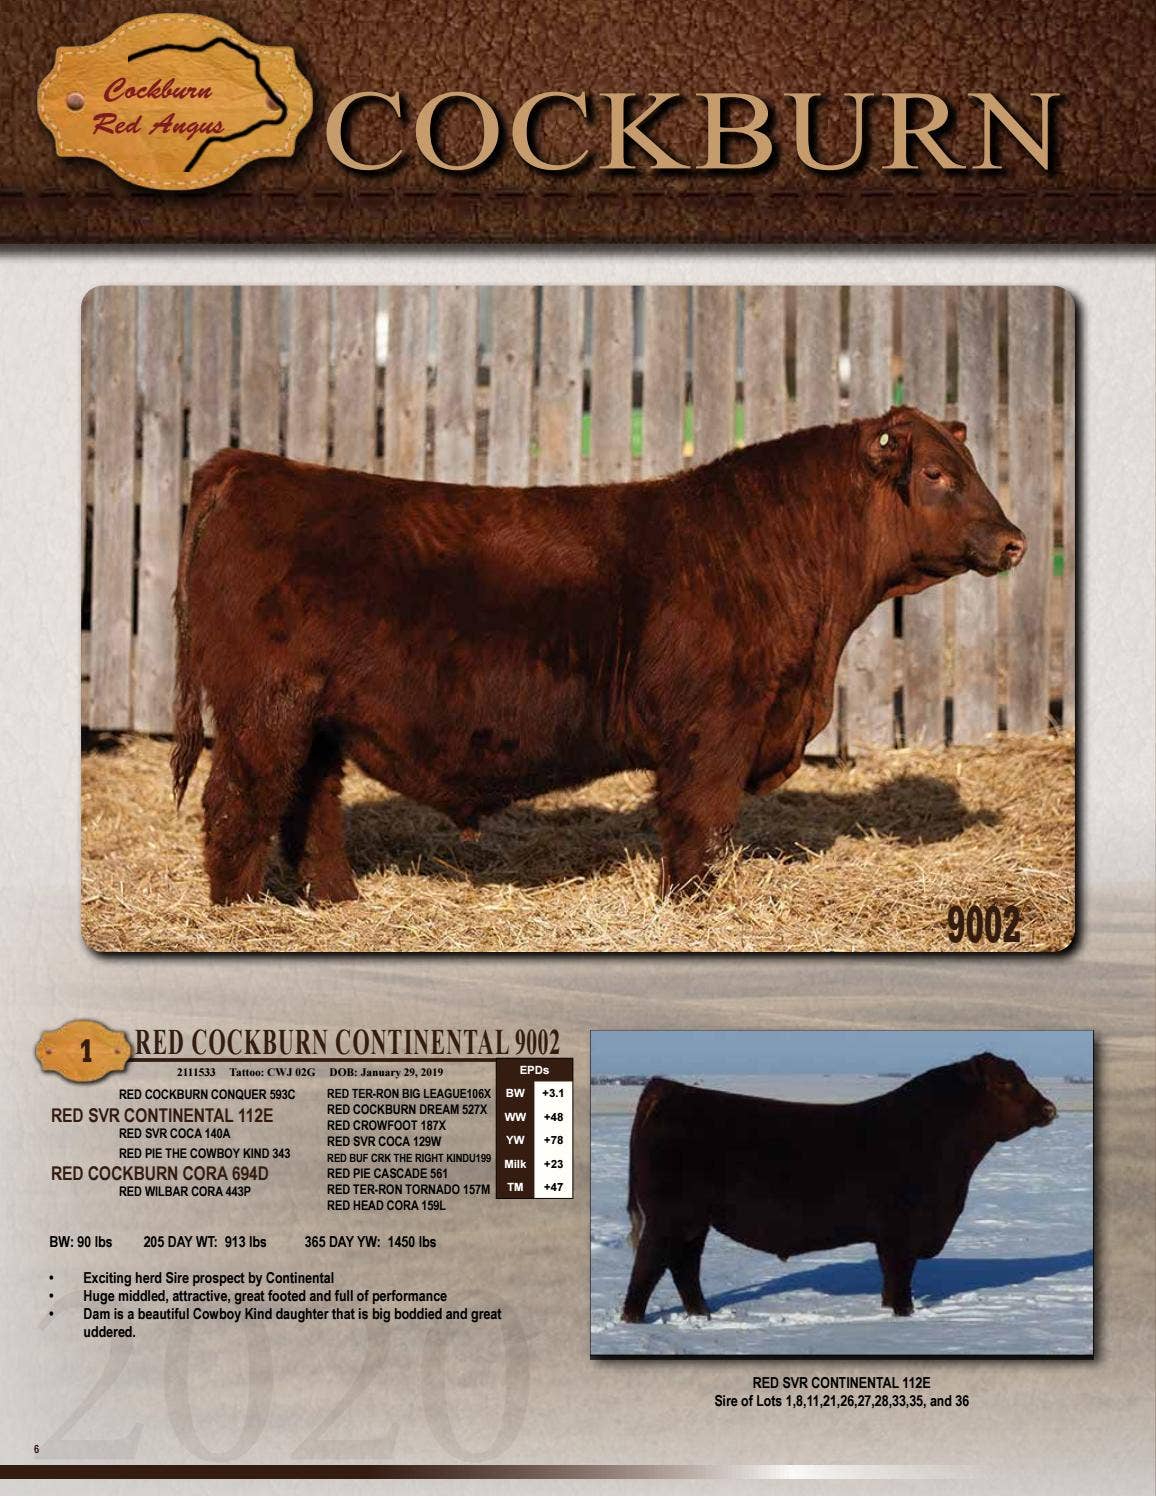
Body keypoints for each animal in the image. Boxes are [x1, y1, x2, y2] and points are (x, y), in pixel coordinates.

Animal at [170, 406, 1025, 905]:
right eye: (938, 475)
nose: (1015, 541)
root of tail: (252, 466)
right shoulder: (714, 730)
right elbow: (702, 820)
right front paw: (693, 903)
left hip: (315, 719)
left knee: (308, 806)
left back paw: (337, 899)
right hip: (263, 708)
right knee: (237, 802)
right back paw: (239, 911)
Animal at [621, 1055, 1058, 1323]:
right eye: (1005, 1082)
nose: (1050, 1108)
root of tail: (669, 1088)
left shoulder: (891, 1236)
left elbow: (890, 1280)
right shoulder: (901, 1231)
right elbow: (900, 1279)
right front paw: (904, 1316)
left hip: (695, 1221)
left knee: (684, 1265)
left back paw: (702, 1315)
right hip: (669, 1216)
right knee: (650, 1264)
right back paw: (634, 1320)